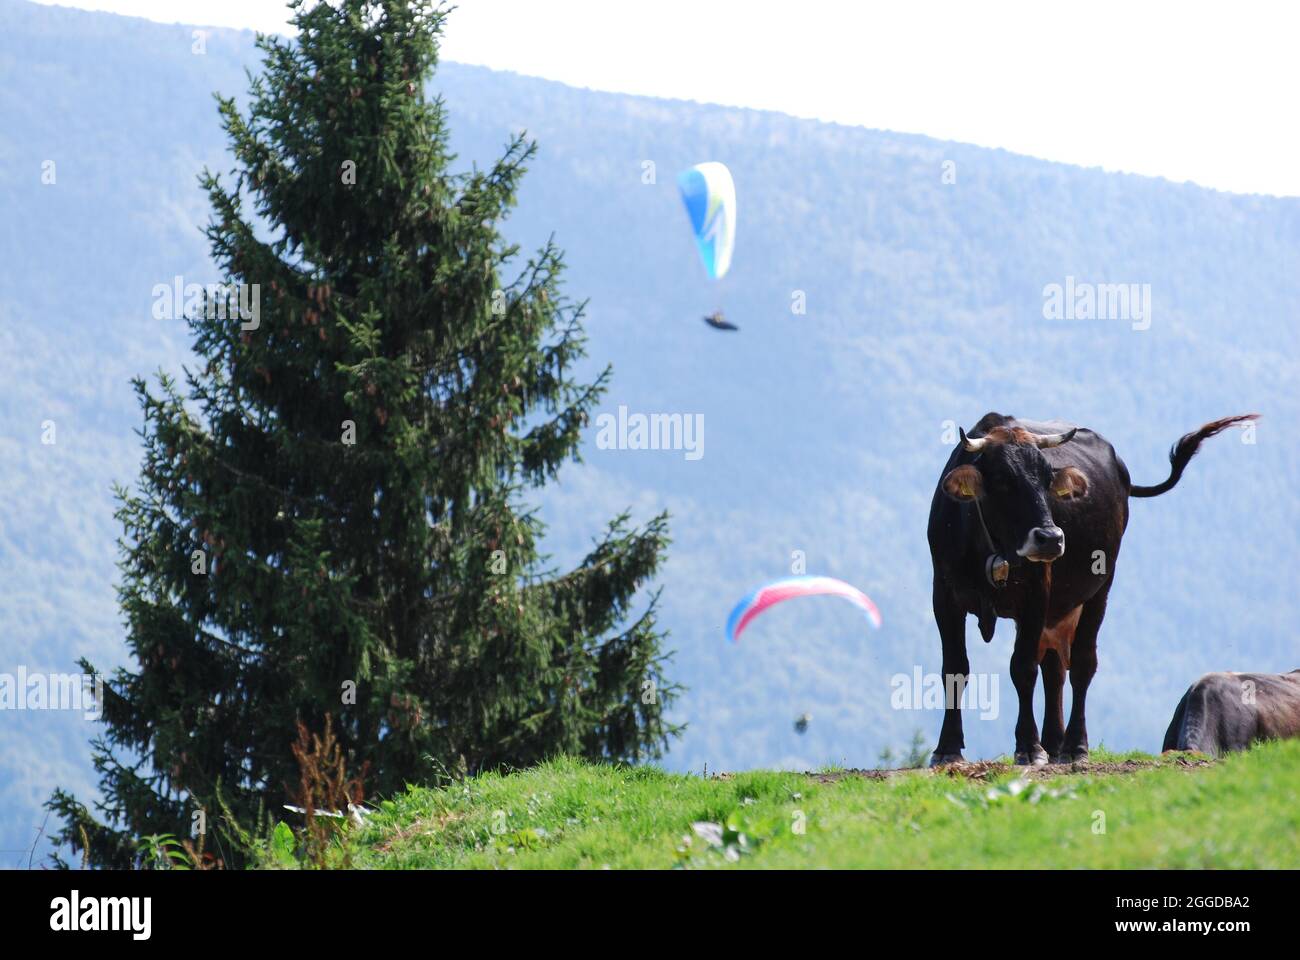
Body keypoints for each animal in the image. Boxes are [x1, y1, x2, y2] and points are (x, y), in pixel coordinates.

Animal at [927, 411, 1257, 766]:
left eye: (1047, 478)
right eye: (1002, 480)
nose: (1050, 538)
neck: (990, 548)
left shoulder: (1035, 596)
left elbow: (1023, 667)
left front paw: (1028, 747)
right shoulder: (944, 596)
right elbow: (955, 668)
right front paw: (947, 748)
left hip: (1099, 589)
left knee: (1082, 666)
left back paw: (1073, 746)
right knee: (1054, 670)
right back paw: (1054, 744)